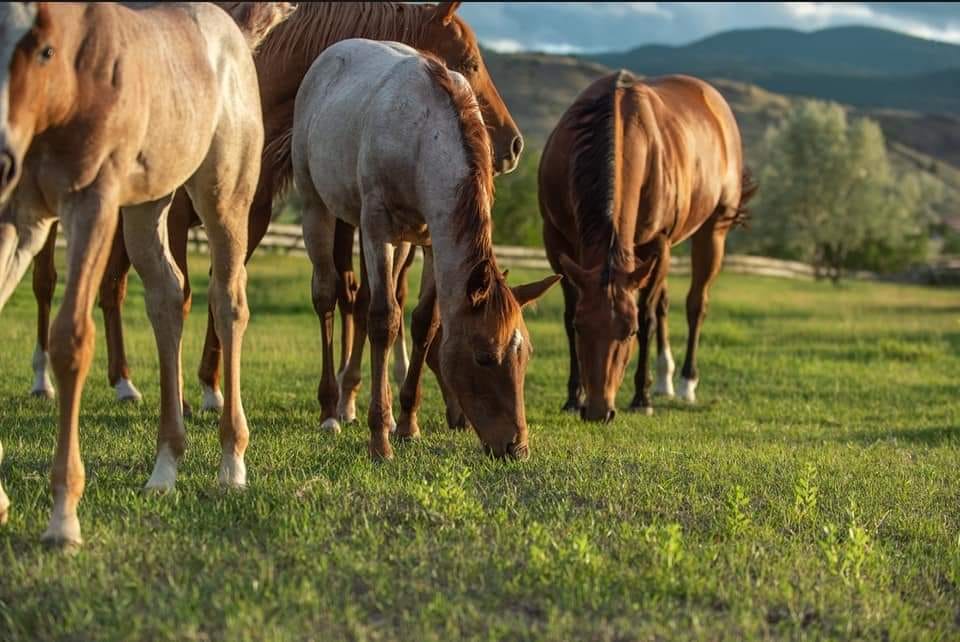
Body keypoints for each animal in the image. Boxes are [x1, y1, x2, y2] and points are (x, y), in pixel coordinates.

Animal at [0, 1, 291, 546]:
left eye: (44, 49)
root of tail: (232, 28)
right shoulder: (18, 218)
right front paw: (1, 502)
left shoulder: (90, 204)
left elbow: (72, 340)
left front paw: (63, 520)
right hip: (146, 206)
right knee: (167, 297)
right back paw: (164, 470)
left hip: (223, 197)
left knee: (228, 302)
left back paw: (231, 465)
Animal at [26, 1, 523, 417]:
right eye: (469, 62)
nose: (514, 145)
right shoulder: (180, 216)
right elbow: (183, 294)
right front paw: (186, 397)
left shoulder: (250, 217)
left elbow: (225, 290)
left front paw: (211, 389)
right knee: (47, 280)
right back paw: (44, 378)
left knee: (112, 285)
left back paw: (123, 382)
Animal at [292, 38, 560, 459]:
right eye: (485, 356)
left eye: (526, 354)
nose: (516, 448)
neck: (423, 138)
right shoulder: (377, 227)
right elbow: (384, 320)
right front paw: (379, 440)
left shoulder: (433, 239)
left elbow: (423, 323)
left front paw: (405, 423)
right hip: (316, 208)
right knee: (326, 297)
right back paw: (331, 410)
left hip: (403, 241)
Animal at [540, 70, 757, 422]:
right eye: (582, 328)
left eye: (627, 333)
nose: (598, 411)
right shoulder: (555, 238)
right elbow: (569, 311)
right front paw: (573, 396)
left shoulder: (659, 243)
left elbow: (646, 318)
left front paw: (642, 397)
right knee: (664, 303)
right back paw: (665, 379)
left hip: (712, 231)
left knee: (695, 303)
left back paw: (684, 383)